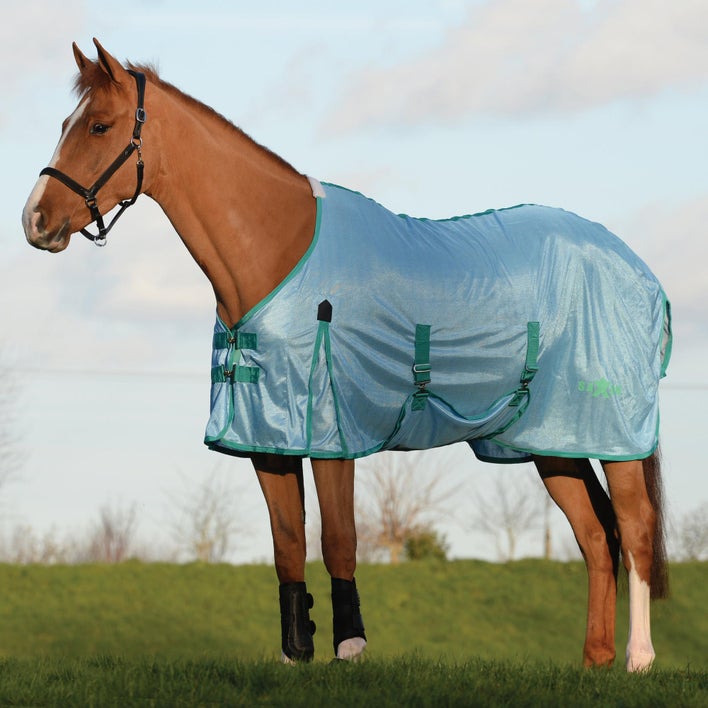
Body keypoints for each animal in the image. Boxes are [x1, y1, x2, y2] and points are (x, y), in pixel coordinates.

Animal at [22, 40, 670, 671]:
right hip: (552, 440)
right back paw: (593, 662)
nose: (35, 220)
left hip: (612, 432)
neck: (277, 250)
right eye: (66, 123)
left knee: (635, 528)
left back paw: (638, 659)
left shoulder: (332, 429)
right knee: (596, 537)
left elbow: (339, 538)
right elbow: (288, 545)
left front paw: (350, 647)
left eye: (99, 126)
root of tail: (639, 269)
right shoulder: (269, 438)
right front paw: (296, 653)